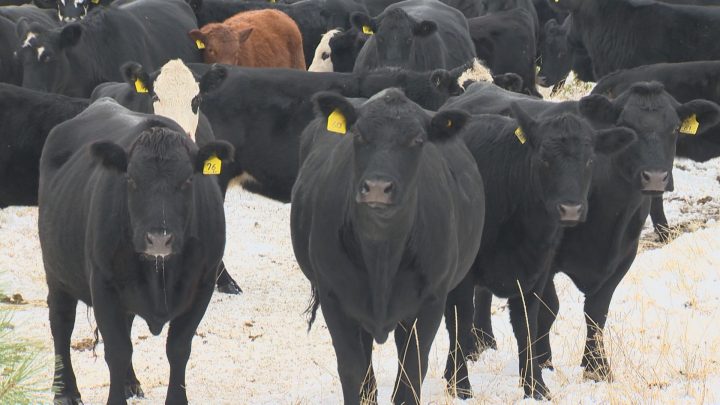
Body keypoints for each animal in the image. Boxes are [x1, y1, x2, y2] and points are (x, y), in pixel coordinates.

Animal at [38, 98, 233, 405]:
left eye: (188, 180)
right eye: (130, 179)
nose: (158, 239)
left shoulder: (203, 284)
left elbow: (178, 348)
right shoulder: (103, 285)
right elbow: (117, 351)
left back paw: (130, 383)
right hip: (56, 271)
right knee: (61, 323)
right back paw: (66, 391)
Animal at [290, 88, 484, 404]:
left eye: (417, 140)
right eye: (358, 135)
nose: (378, 187)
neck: (381, 253)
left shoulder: (430, 302)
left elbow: (411, 375)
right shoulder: (335, 298)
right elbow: (353, 371)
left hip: (458, 283)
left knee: (458, 323)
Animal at [441, 105, 636, 399]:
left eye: (590, 160)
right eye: (544, 158)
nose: (570, 209)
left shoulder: (536, 271)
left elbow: (528, 325)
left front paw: (535, 386)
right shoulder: (462, 276)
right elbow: (459, 322)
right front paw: (460, 386)